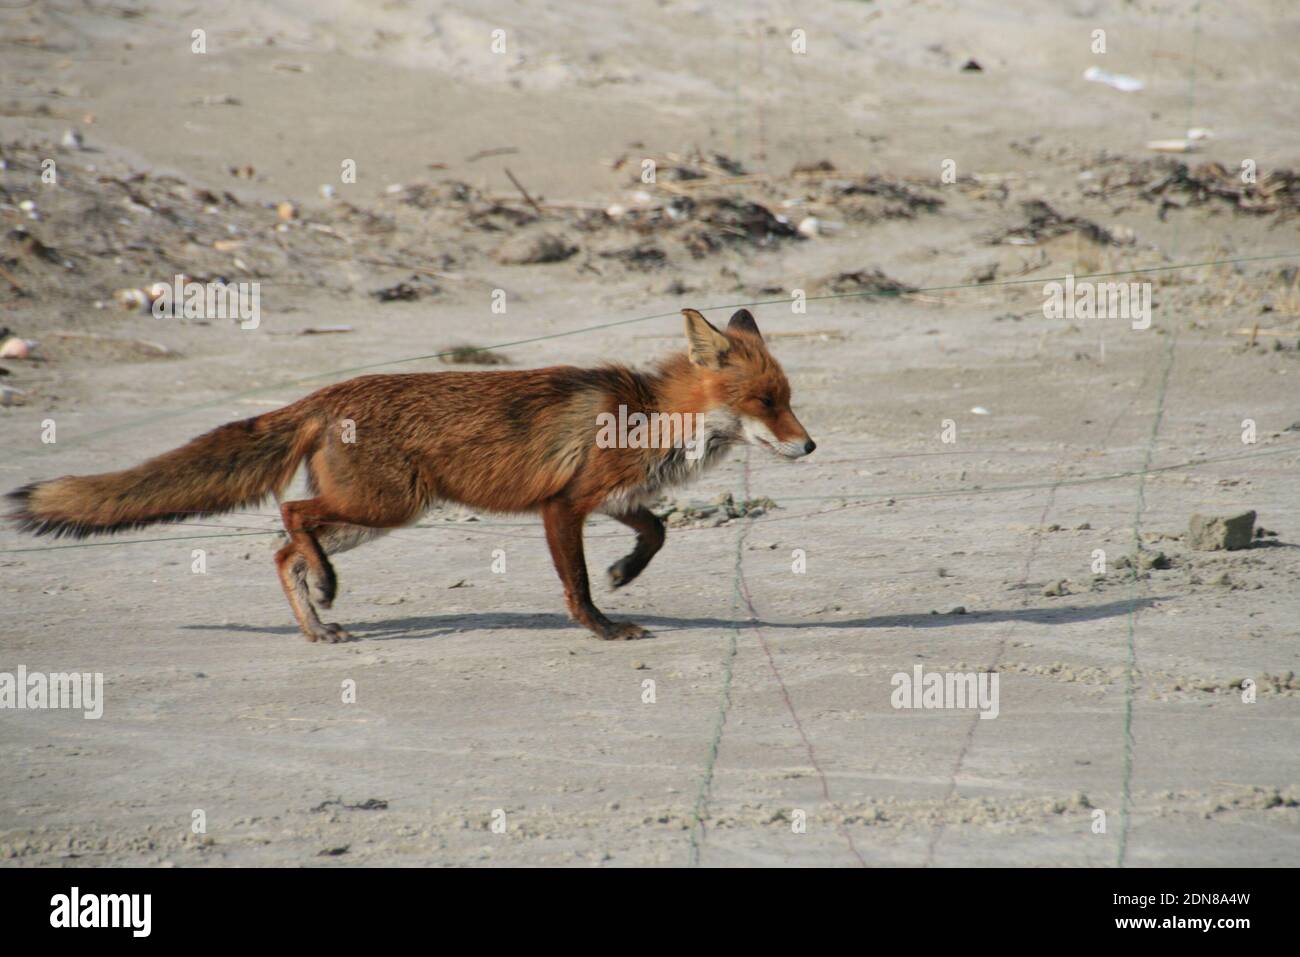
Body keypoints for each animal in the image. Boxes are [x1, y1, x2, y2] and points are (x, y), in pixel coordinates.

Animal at [7, 308, 815, 642]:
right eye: (766, 403)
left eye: (788, 399)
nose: (809, 446)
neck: (649, 415)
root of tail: (327, 393)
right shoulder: (561, 506)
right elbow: (577, 584)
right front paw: (601, 625)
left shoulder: (609, 497)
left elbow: (657, 533)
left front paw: (624, 574)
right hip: (388, 507)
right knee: (292, 522)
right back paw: (328, 590)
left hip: (375, 514)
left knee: (283, 549)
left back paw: (317, 625)